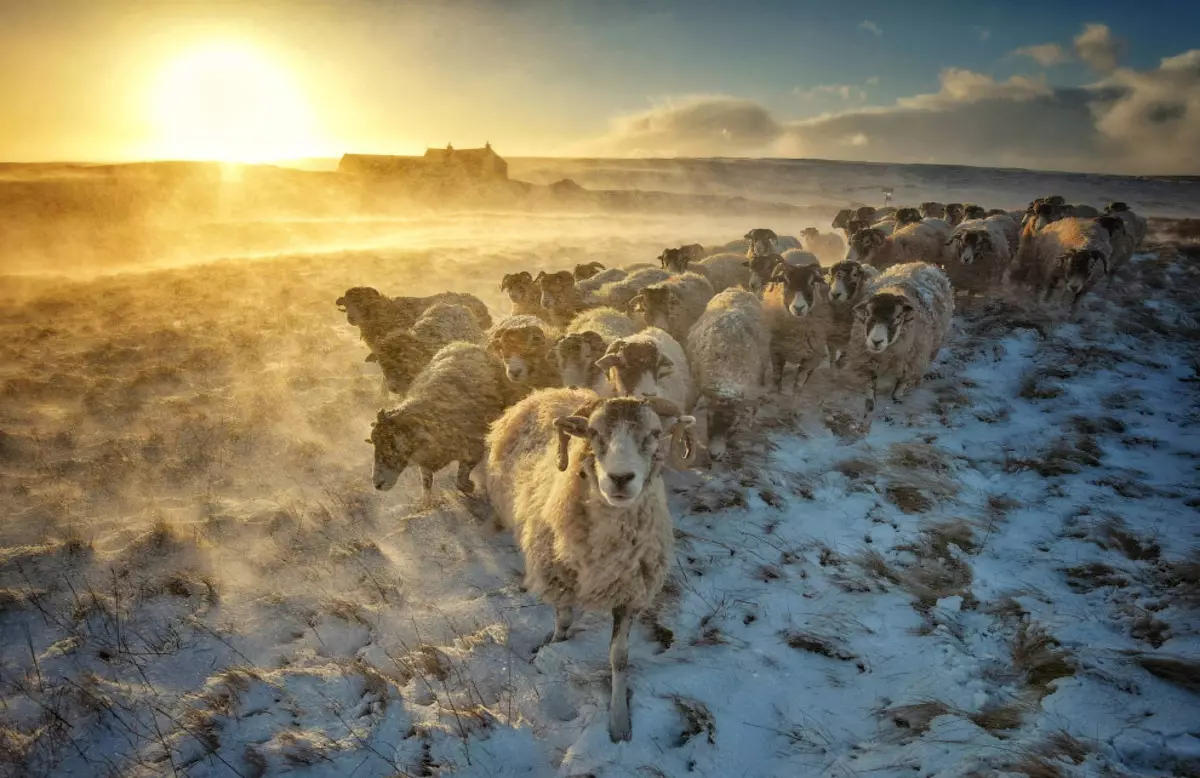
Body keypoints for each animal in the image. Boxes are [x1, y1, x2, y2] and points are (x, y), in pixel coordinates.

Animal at [484, 389, 700, 739]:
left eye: (655, 433)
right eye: (594, 432)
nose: (620, 478)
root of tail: (548, 391)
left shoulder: (630, 593)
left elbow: (619, 657)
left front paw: (619, 722)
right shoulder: (559, 578)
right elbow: (563, 623)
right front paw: (551, 649)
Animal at [763, 262, 830, 396]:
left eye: (812, 282)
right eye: (785, 281)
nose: (798, 308)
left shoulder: (810, 358)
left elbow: (798, 384)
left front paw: (795, 398)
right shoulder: (776, 350)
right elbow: (776, 377)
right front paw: (775, 393)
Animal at [844, 261, 955, 415]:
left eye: (898, 318)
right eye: (867, 313)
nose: (876, 341)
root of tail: (925, 263)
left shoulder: (911, 365)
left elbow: (899, 387)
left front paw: (896, 398)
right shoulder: (866, 363)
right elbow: (870, 387)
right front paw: (870, 403)